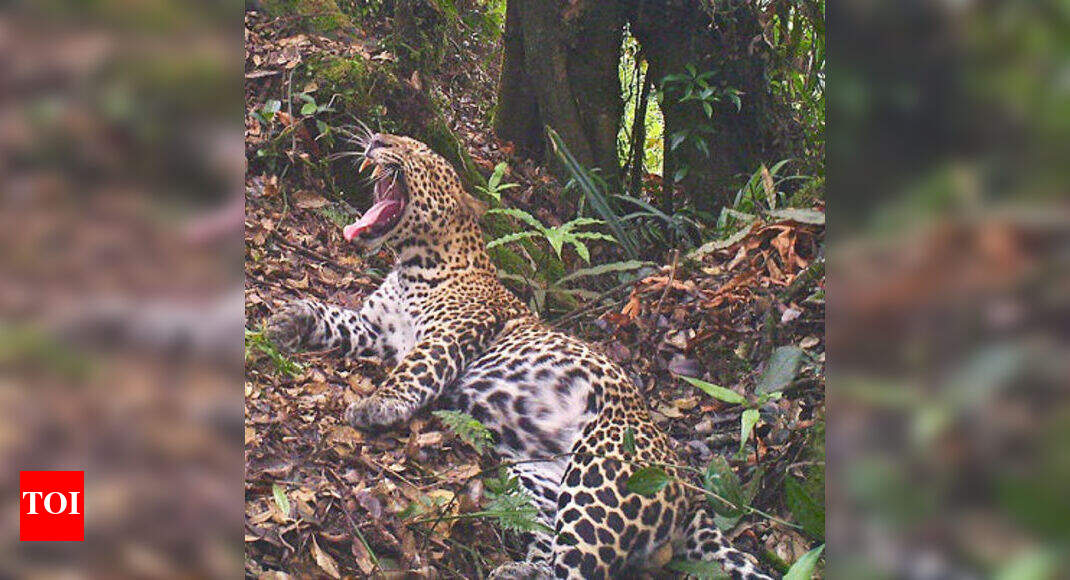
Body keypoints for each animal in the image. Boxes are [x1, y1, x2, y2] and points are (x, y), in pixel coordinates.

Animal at [265, 132, 776, 580]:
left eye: (417, 151)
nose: (377, 141)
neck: (412, 263)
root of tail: (690, 491)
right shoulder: (377, 330)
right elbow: (335, 317)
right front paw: (289, 320)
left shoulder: (450, 335)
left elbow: (413, 372)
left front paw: (375, 406)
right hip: (537, 479)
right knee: (551, 542)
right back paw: (520, 568)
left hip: (605, 477)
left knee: (583, 568)